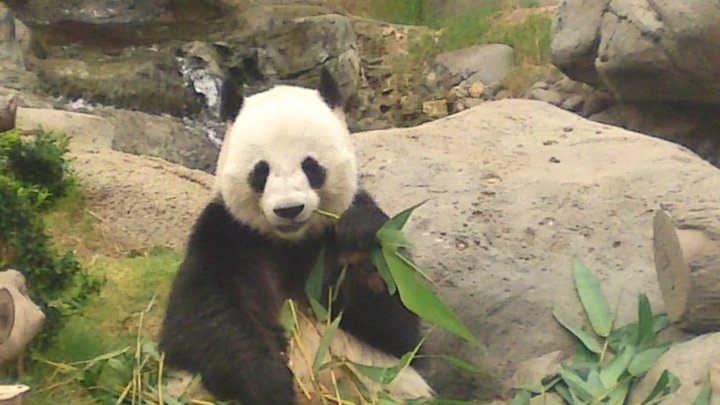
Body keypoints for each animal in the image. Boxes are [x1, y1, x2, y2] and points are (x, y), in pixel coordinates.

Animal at [159, 69, 434, 404]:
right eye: (261, 171)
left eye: (311, 166)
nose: (289, 209)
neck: (290, 242)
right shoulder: (228, 235)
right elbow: (207, 321)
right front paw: (271, 385)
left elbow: (399, 327)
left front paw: (357, 238)